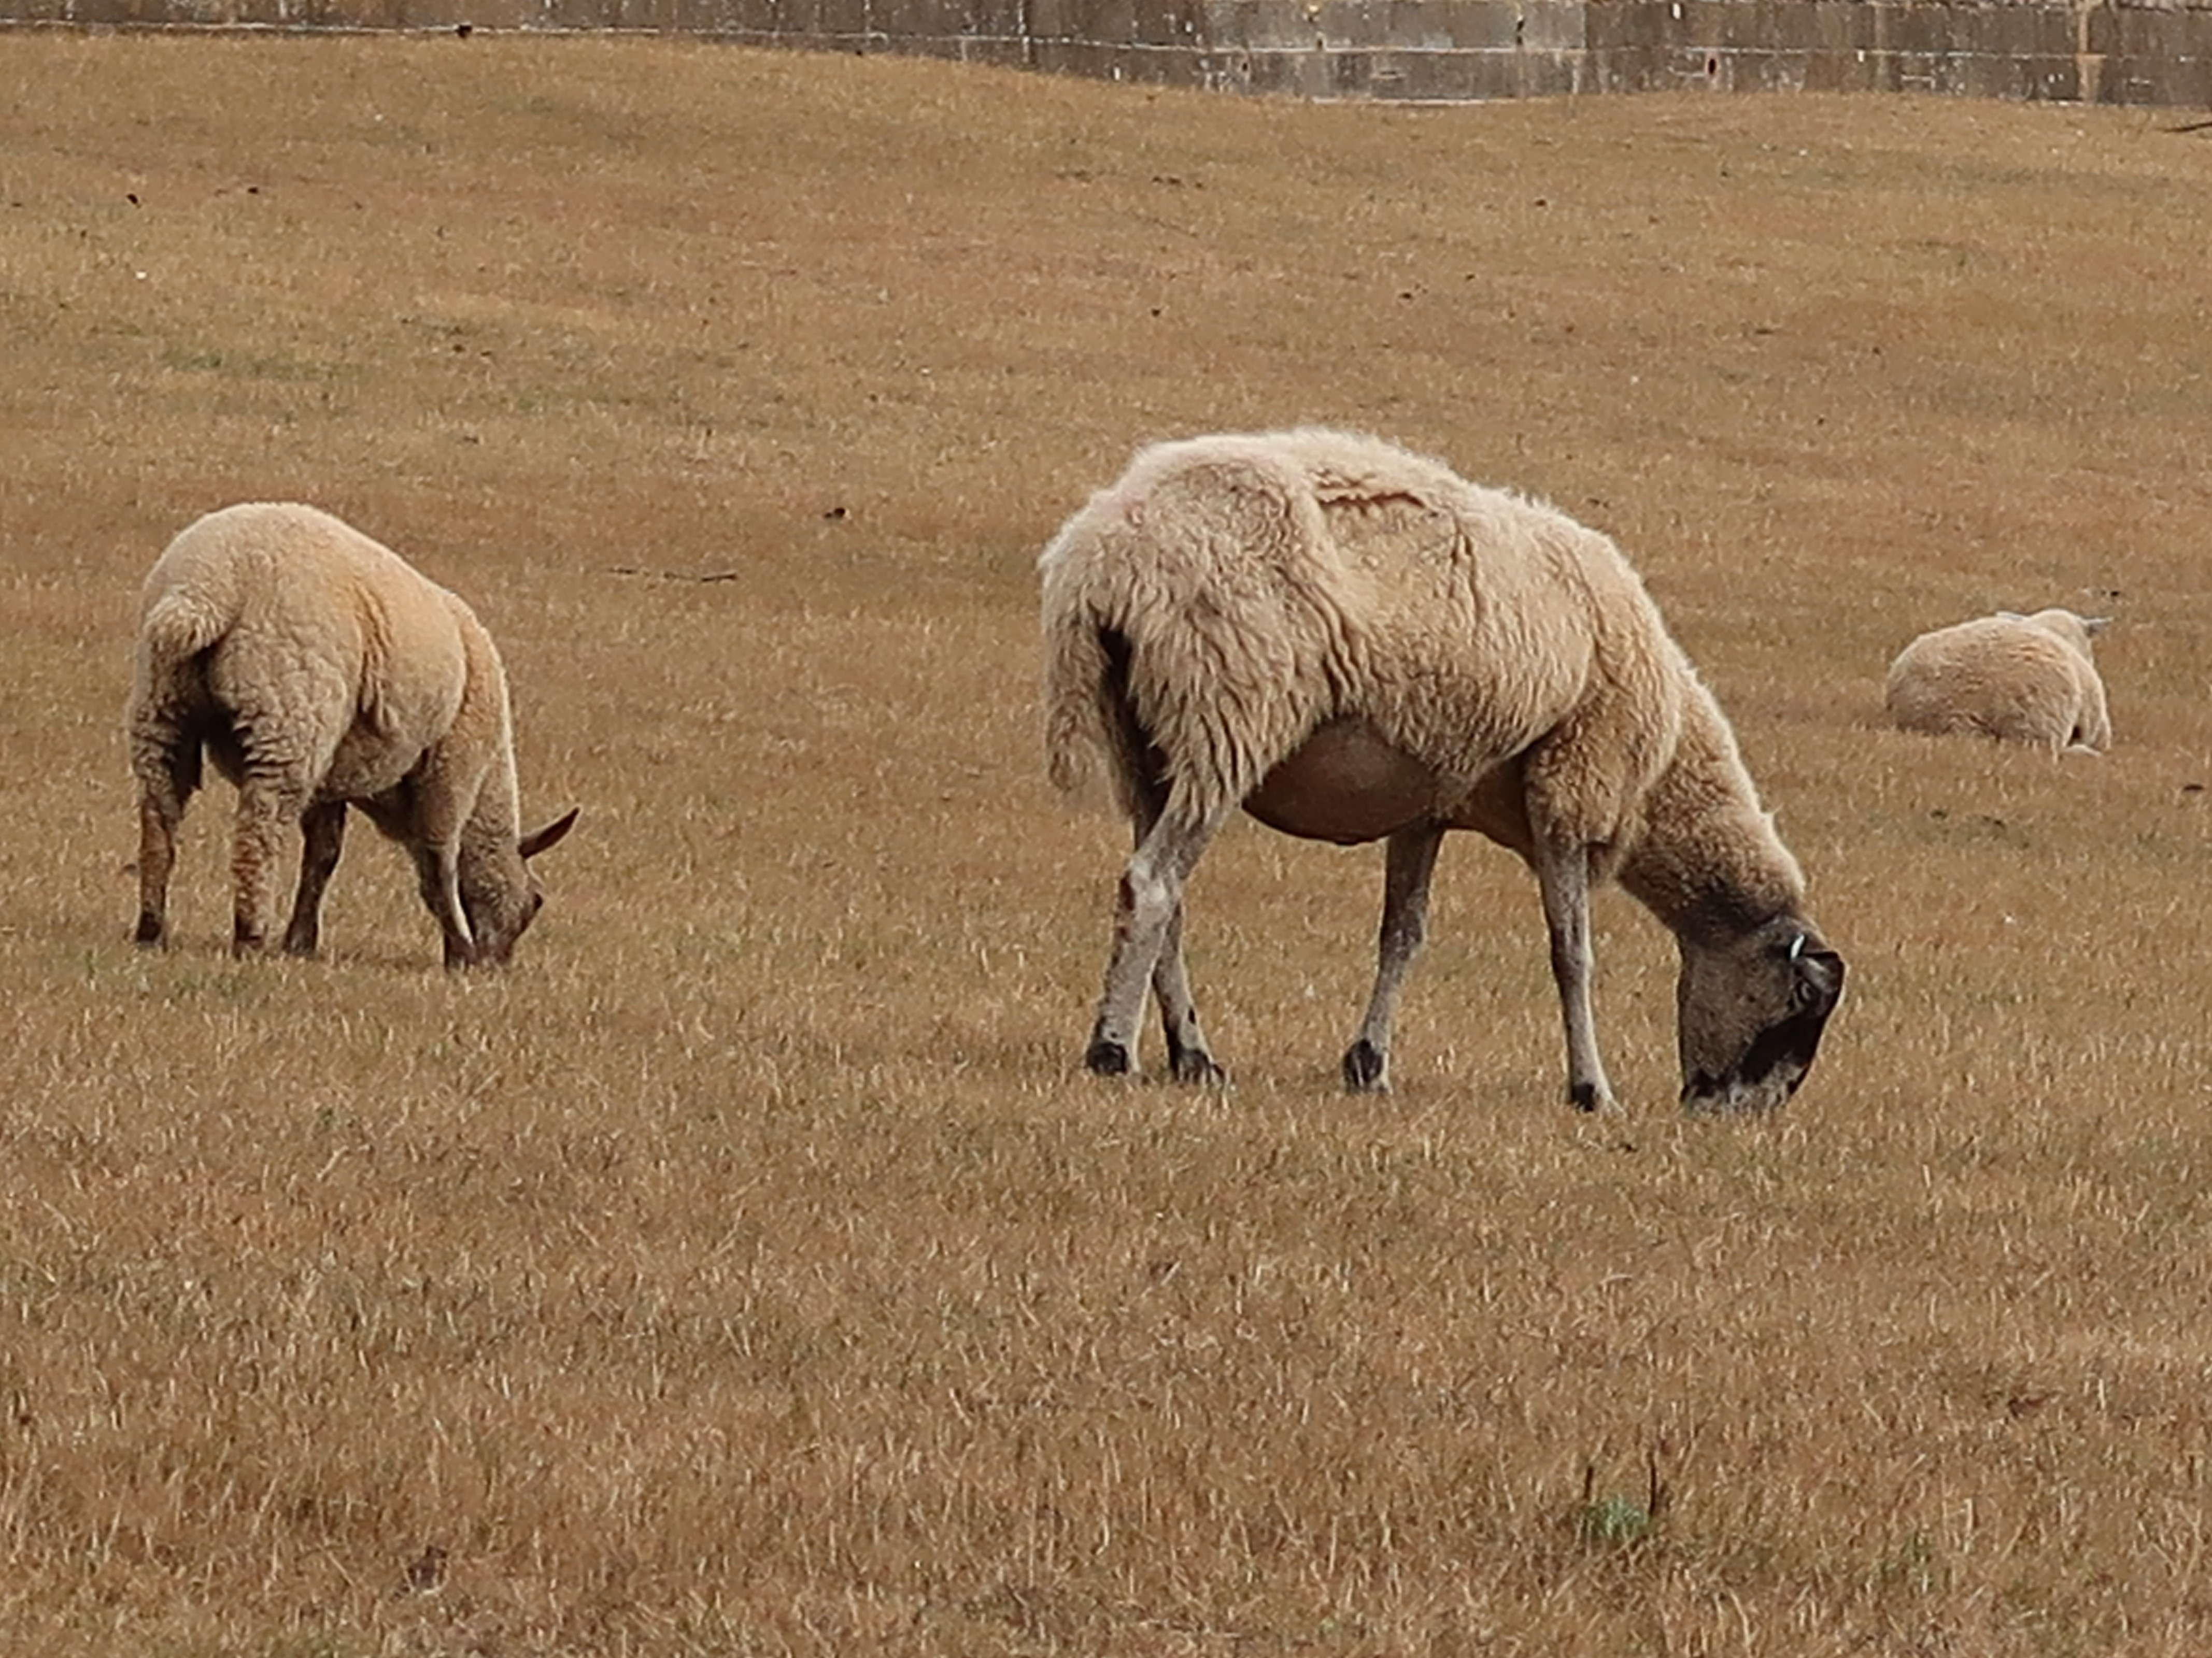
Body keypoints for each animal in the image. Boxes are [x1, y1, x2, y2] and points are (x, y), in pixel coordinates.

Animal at [126, 502, 577, 968]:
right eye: (536, 902)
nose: (498, 967)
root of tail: (209, 588)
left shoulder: (332, 774)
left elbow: (323, 854)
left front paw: (301, 941)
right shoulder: (452, 769)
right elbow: (439, 861)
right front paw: (460, 951)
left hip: (161, 709)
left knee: (159, 818)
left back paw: (151, 929)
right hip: (290, 718)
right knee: (258, 831)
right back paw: (249, 936)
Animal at [1039, 429, 1844, 1114]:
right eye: (1798, 1004)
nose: (1736, 1115)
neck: (1663, 778)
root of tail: (1103, 557)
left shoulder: (1426, 801)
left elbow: (1403, 935)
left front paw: (1369, 1064)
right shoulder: (1569, 788)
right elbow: (1572, 952)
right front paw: (1591, 1088)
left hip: (1144, 742)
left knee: (1162, 896)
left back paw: (1193, 1054)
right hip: (1228, 715)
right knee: (1153, 882)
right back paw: (1113, 1050)